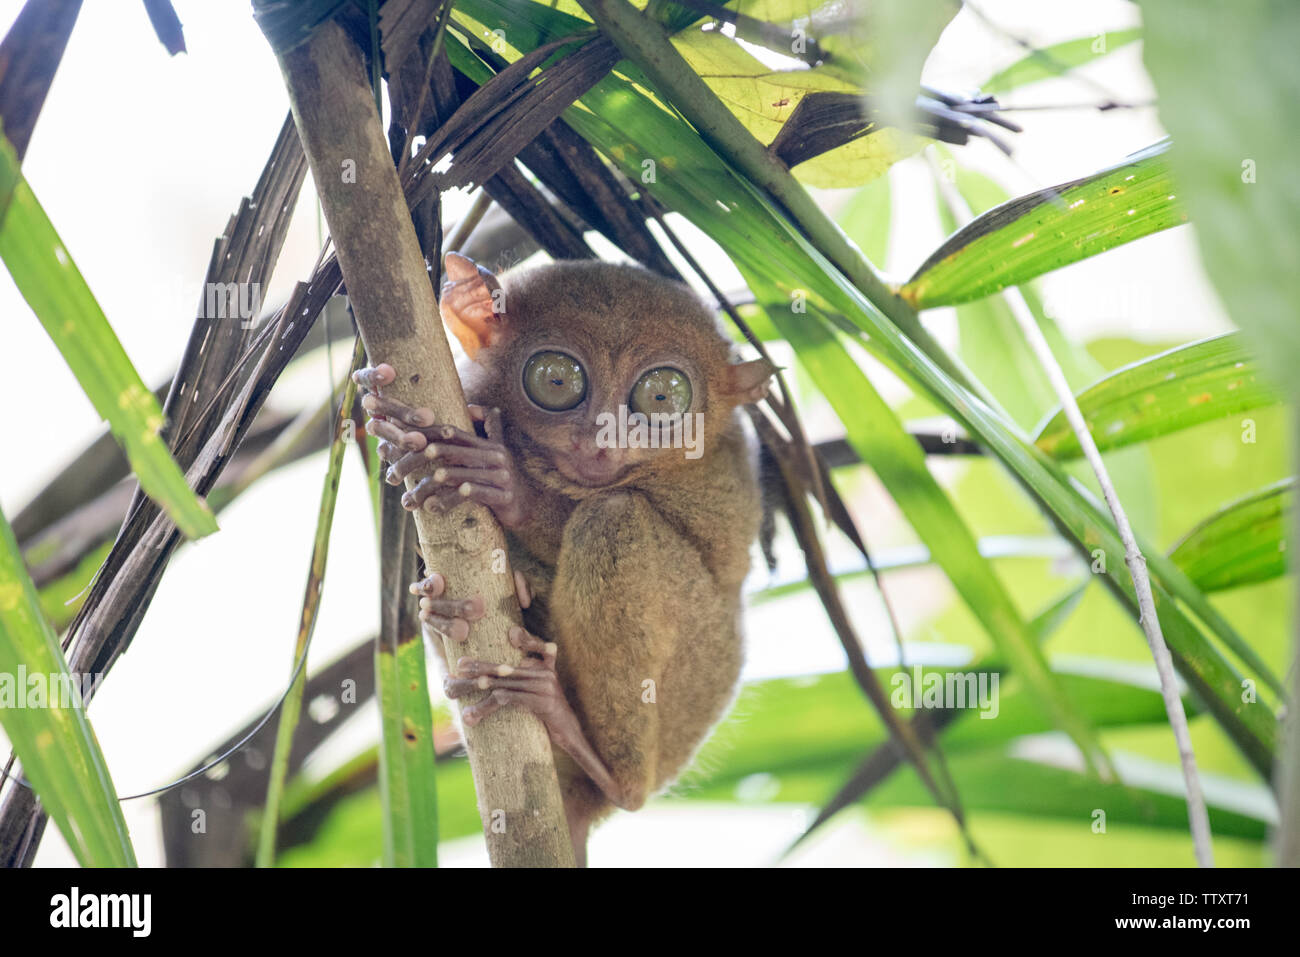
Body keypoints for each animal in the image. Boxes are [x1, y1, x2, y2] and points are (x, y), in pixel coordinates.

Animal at [354, 252, 774, 865]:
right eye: (557, 380)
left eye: (662, 398)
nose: (601, 441)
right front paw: (382, 419)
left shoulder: (713, 482)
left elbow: (675, 529)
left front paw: (506, 483)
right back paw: (450, 610)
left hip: (699, 684)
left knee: (612, 519)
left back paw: (591, 753)